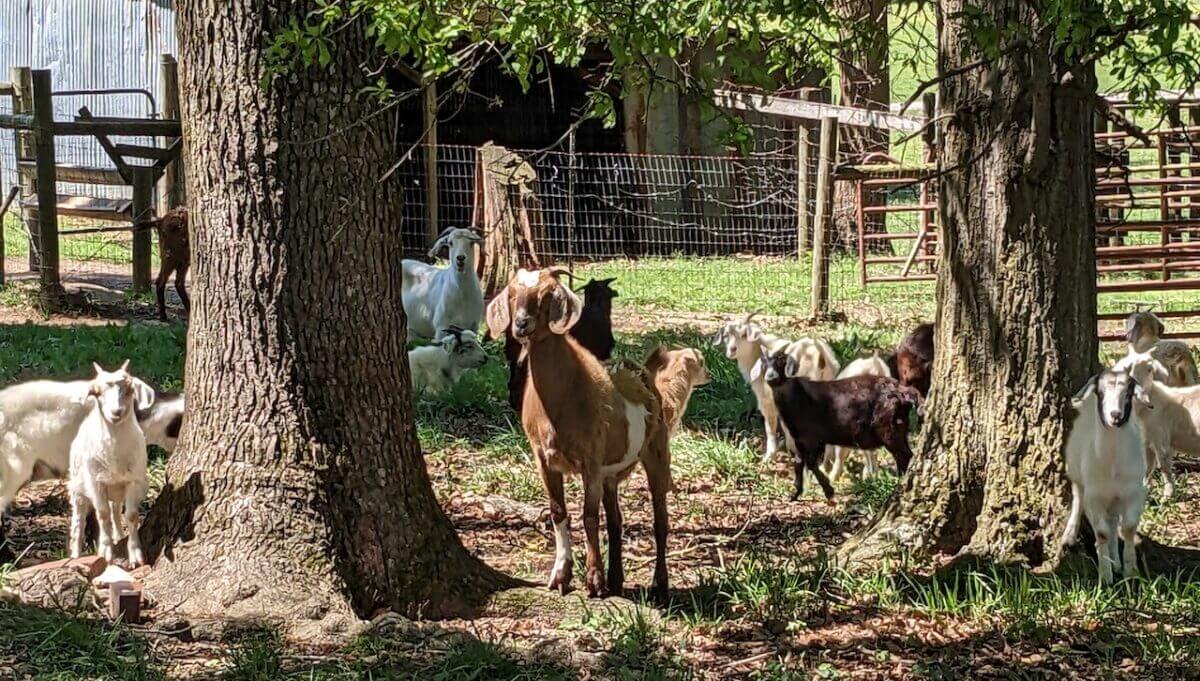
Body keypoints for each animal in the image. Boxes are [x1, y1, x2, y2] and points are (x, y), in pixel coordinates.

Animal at [67, 362, 152, 567]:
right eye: (96, 392)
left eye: (130, 389)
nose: (116, 412)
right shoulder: (96, 482)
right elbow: (102, 513)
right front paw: (105, 550)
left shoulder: (133, 481)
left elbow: (131, 515)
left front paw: (135, 553)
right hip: (77, 485)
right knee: (78, 520)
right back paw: (75, 555)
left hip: (117, 489)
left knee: (115, 512)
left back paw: (118, 536)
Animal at [1061, 369, 1148, 585]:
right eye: (1101, 393)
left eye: (1128, 394)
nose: (1115, 416)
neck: (1113, 465)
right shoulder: (1095, 497)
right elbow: (1101, 533)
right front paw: (1106, 575)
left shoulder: (1135, 492)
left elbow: (1128, 528)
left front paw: (1129, 570)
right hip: (1076, 472)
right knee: (1078, 499)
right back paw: (1069, 536)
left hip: (1115, 496)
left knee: (1114, 521)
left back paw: (1116, 560)